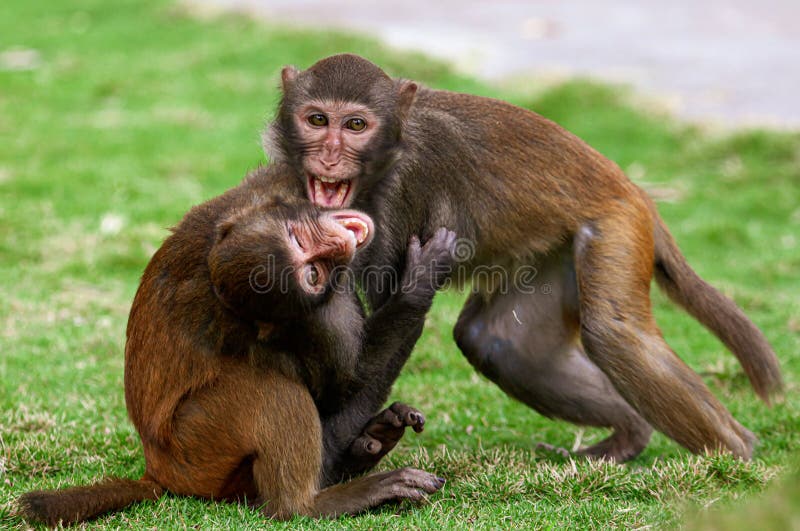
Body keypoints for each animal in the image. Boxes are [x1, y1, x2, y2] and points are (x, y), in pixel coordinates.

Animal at [18, 163, 457, 527]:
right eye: (313, 273)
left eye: (303, 240)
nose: (337, 247)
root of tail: (157, 472)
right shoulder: (317, 317)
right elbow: (344, 386)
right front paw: (417, 287)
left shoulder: (253, 195)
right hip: (197, 447)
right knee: (267, 390)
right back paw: (310, 503)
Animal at [264, 53, 783, 462]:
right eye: (317, 120)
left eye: (355, 125)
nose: (329, 157)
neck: (383, 164)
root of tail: (630, 187)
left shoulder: (401, 200)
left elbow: (402, 313)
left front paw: (342, 452)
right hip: (555, 248)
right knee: (499, 342)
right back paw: (630, 436)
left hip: (615, 227)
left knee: (613, 334)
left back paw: (734, 455)